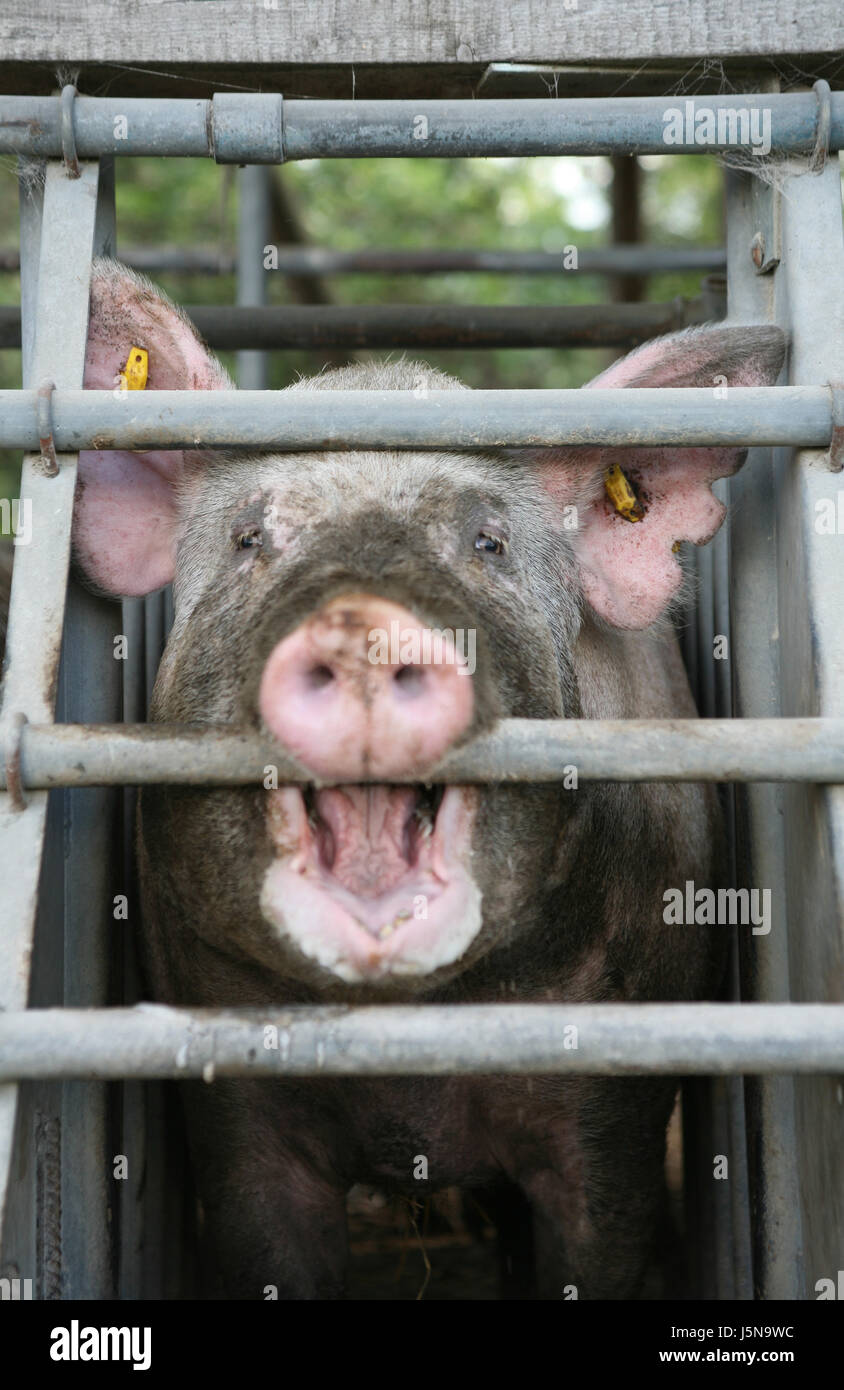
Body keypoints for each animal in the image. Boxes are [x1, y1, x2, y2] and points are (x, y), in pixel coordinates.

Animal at [72, 260, 784, 1299]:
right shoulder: (229, 1088)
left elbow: (599, 1242)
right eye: (251, 538)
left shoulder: (621, 1088)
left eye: (488, 544)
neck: (410, 1031)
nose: (364, 626)